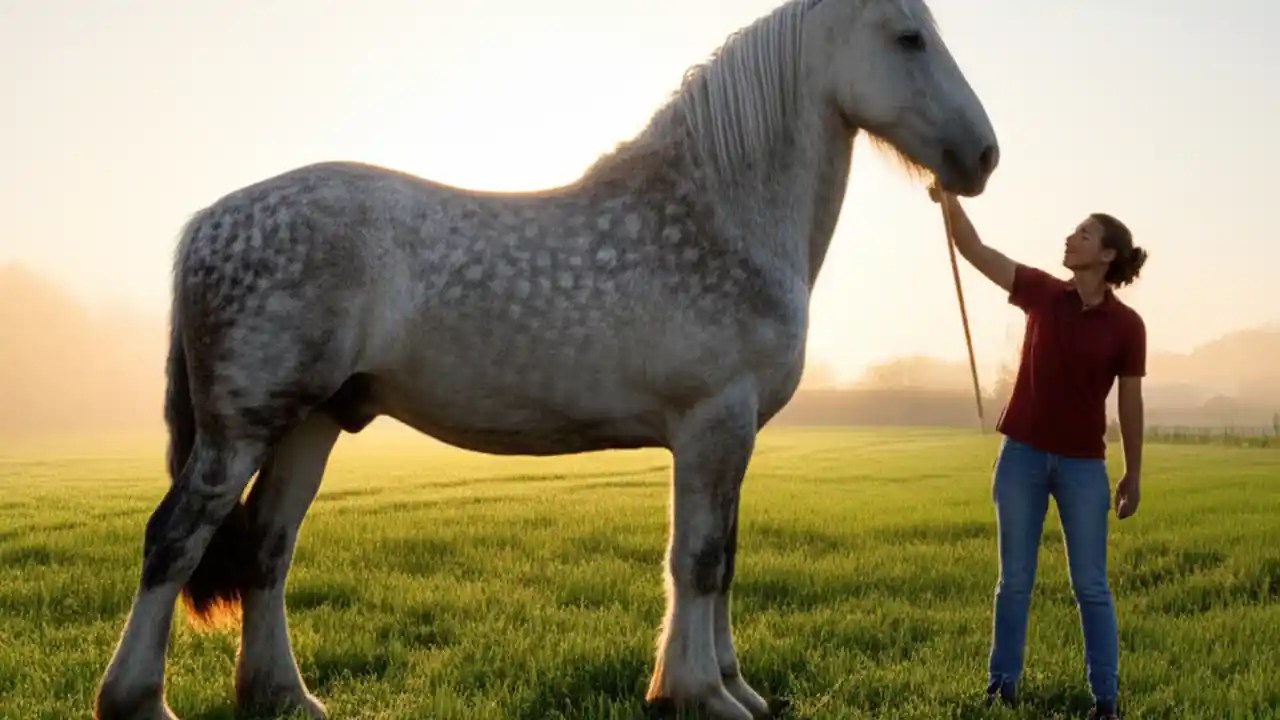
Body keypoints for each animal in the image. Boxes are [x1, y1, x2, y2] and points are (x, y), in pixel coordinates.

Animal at [94, 0, 997, 718]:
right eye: (910, 37)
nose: (982, 157)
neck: (714, 216)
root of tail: (211, 219)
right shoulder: (712, 424)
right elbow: (699, 560)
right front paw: (699, 694)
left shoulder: (732, 435)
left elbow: (725, 558)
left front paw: (733, 686)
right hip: (240, 432)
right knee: (176, 539)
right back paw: (138, 700)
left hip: (308, 426)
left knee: (267, 550)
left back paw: (284, 696)